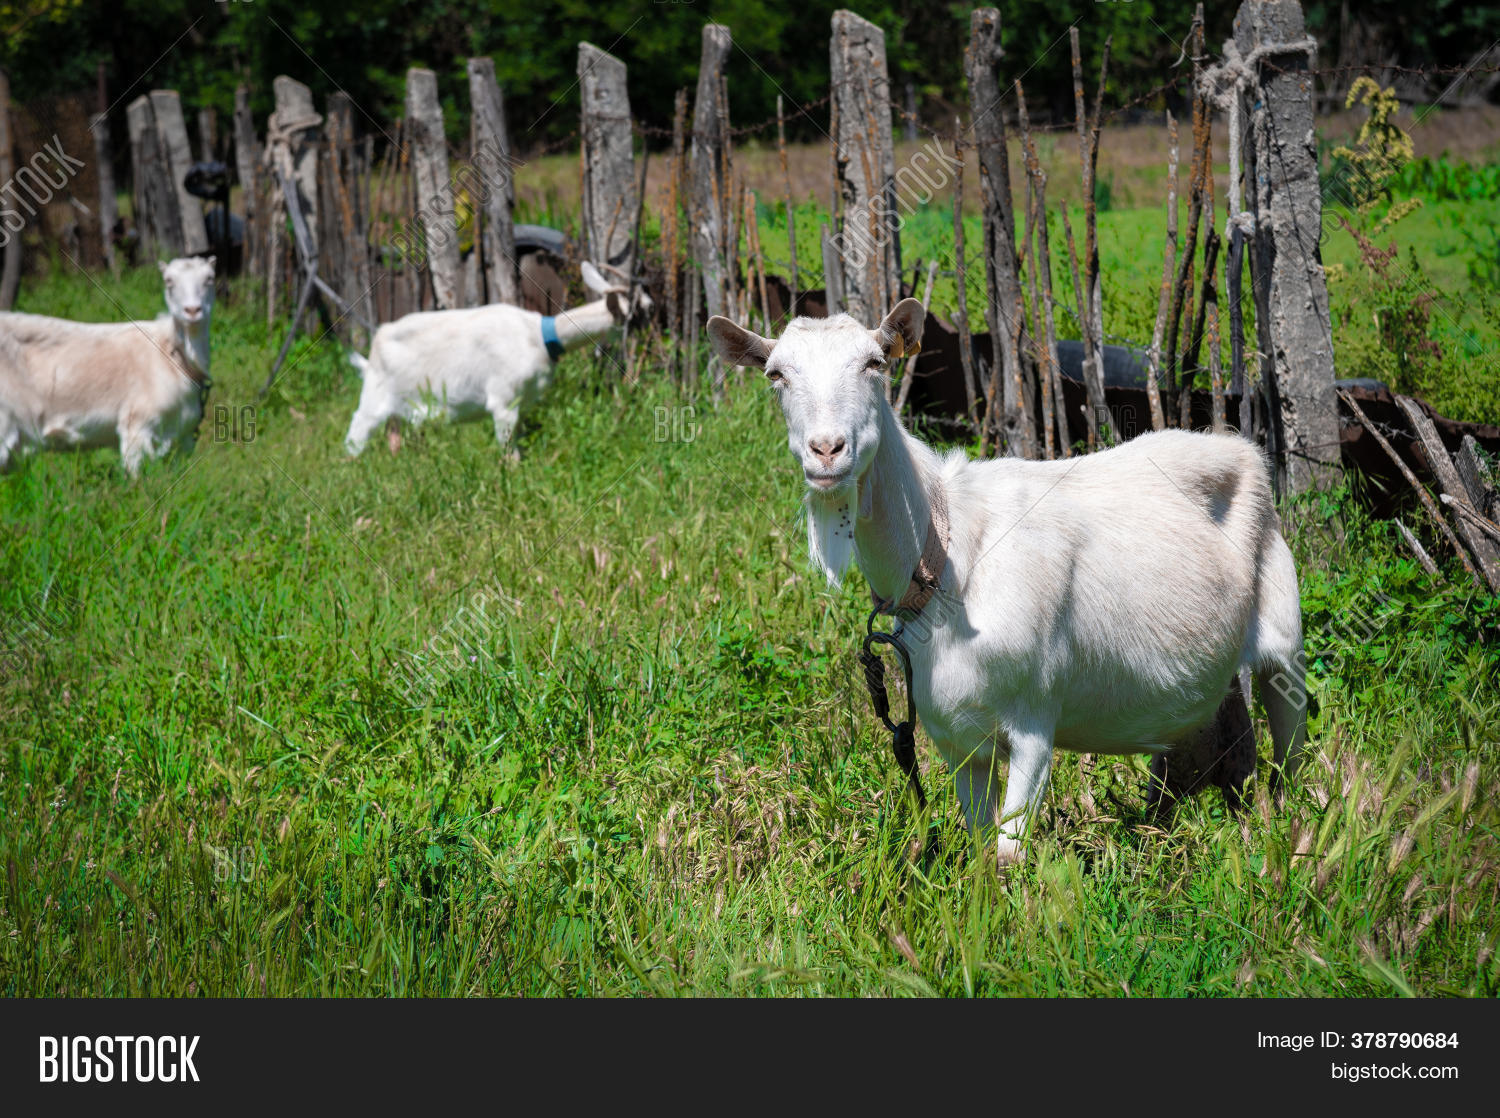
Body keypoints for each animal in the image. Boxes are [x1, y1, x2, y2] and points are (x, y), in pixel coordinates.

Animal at [0, 256, 215, 478]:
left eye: (209, 278)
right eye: (168, 281)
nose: (192, 310)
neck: (170, 352)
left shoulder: (184, 435)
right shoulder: (136, 426)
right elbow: (137, 479)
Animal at [344, 262, 650, 456]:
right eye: (641, 310)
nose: (651, 332)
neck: (537, 337)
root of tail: (372, 352)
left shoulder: (522, 404)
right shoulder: (504, 402)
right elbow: (509, 455)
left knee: (393, 436)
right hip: (372, 401)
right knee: (355, 436)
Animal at [708, 299, 1307, 866]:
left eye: (875, 363)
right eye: (776, 375)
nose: (827, 450)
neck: (948, 554)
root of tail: (1241, 449)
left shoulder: (1035, 719)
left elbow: (1008, 854)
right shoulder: (956, 739)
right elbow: (979, 848)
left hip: (1284, 637)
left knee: (1290, 748)